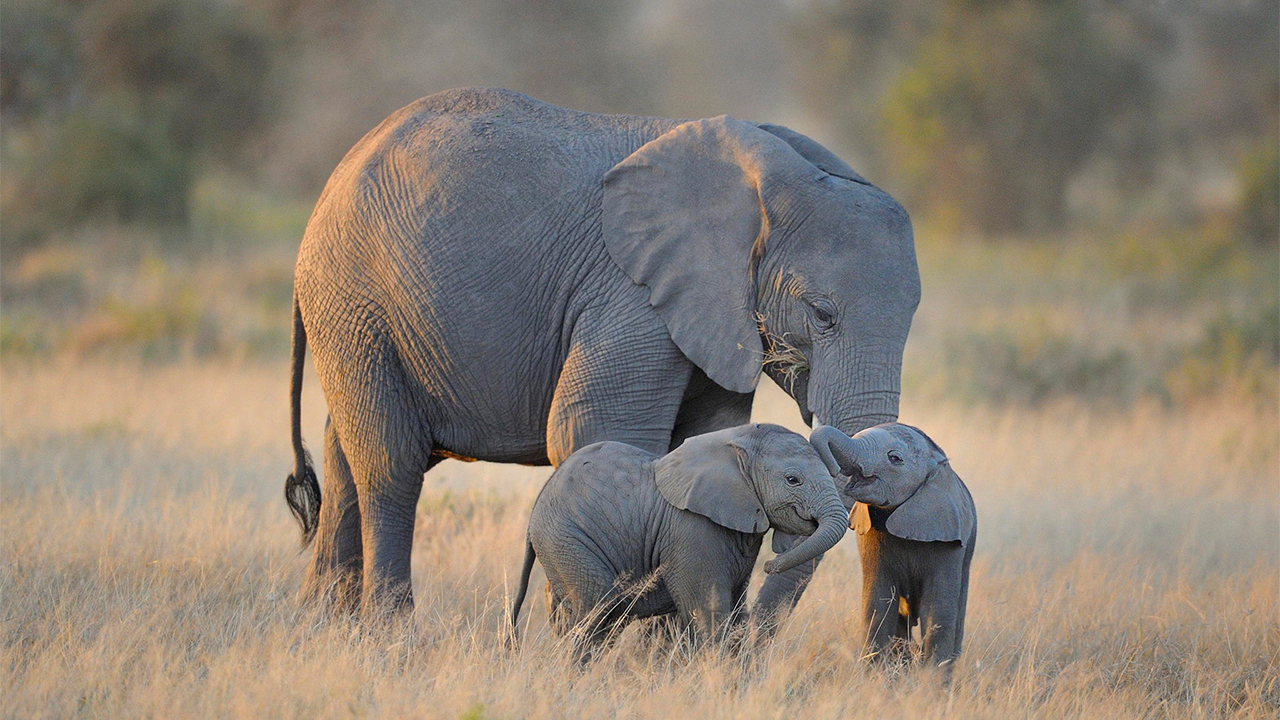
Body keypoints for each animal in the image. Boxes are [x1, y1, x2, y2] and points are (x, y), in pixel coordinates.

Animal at [283, 87, 920, 615]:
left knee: (344, 458)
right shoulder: (629, 293)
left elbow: (702, 439)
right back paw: (390, 634)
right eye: (822, 314)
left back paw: (324, 628)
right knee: (389, 466)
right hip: (355, 301)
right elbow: (595, 430)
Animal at [510, 424, 848, 654]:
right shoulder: (692, 532)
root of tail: (536, 509)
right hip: (567, 540)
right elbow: (709, 613)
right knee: (597, 611)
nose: (769, 565)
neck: (736, 443)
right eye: (793, 480)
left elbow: (736, 611)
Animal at [809, 423, 976, 668]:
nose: (832, 468)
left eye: (895, 458)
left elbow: (938, 612)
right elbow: (878, 603)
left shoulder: (949, 539)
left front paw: (931, 679)